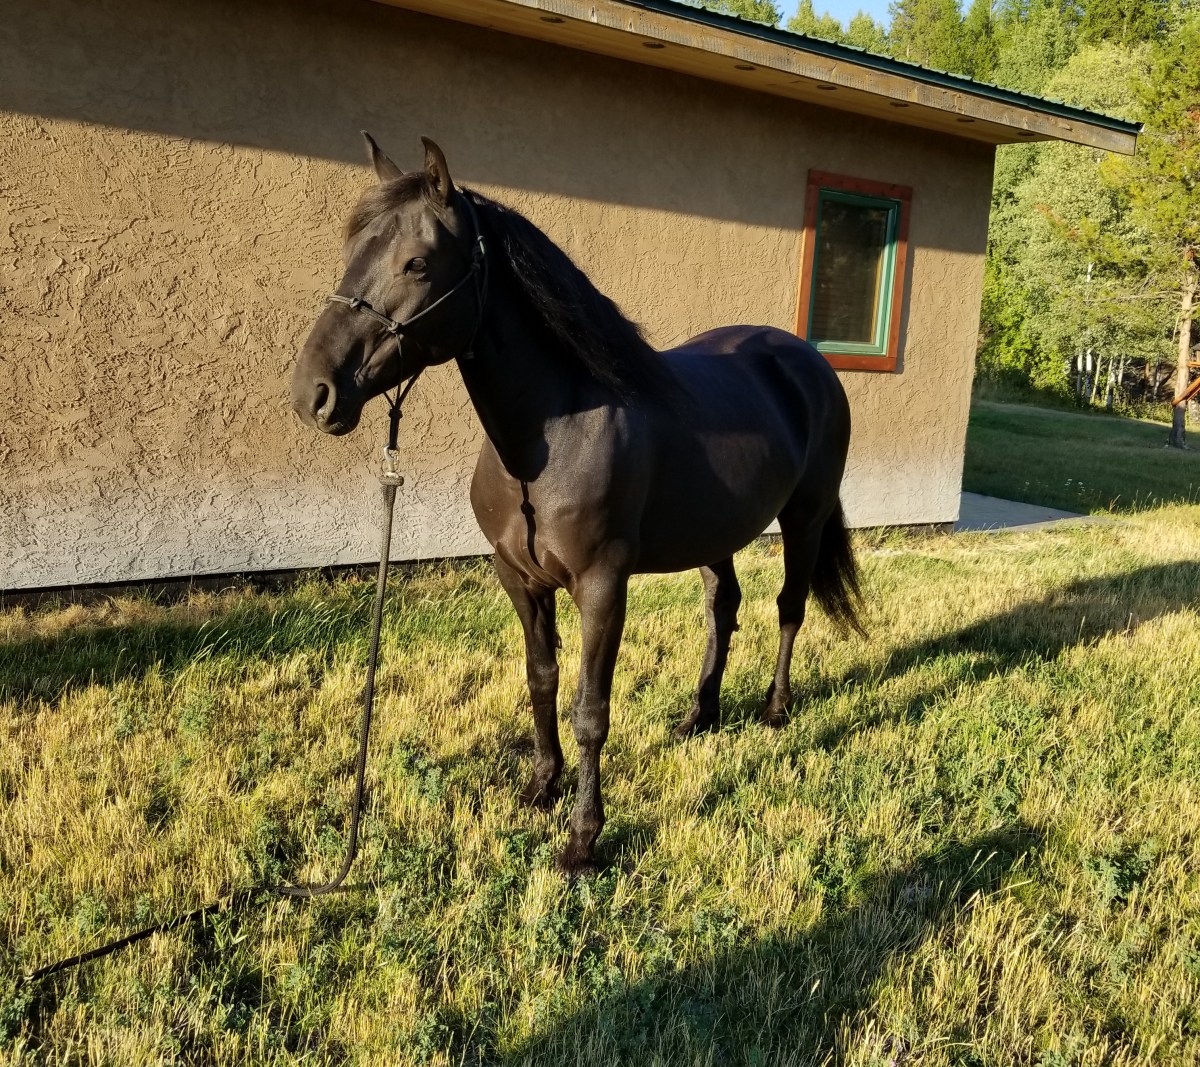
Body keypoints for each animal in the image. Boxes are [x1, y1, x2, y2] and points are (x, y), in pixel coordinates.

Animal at [291, 135, 864, 876]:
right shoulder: (519, 578)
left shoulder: (601, 586)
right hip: (716, 533)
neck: (551, 435)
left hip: (805, 518)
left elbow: (592, 710)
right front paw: (542, 785)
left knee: (789, 606)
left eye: (417, 262)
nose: (313, 392)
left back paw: (775, 709)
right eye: (352, 250)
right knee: (724, 607)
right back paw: (701, 716)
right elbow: (542, 681)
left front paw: (583, 839)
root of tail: (807, 360)